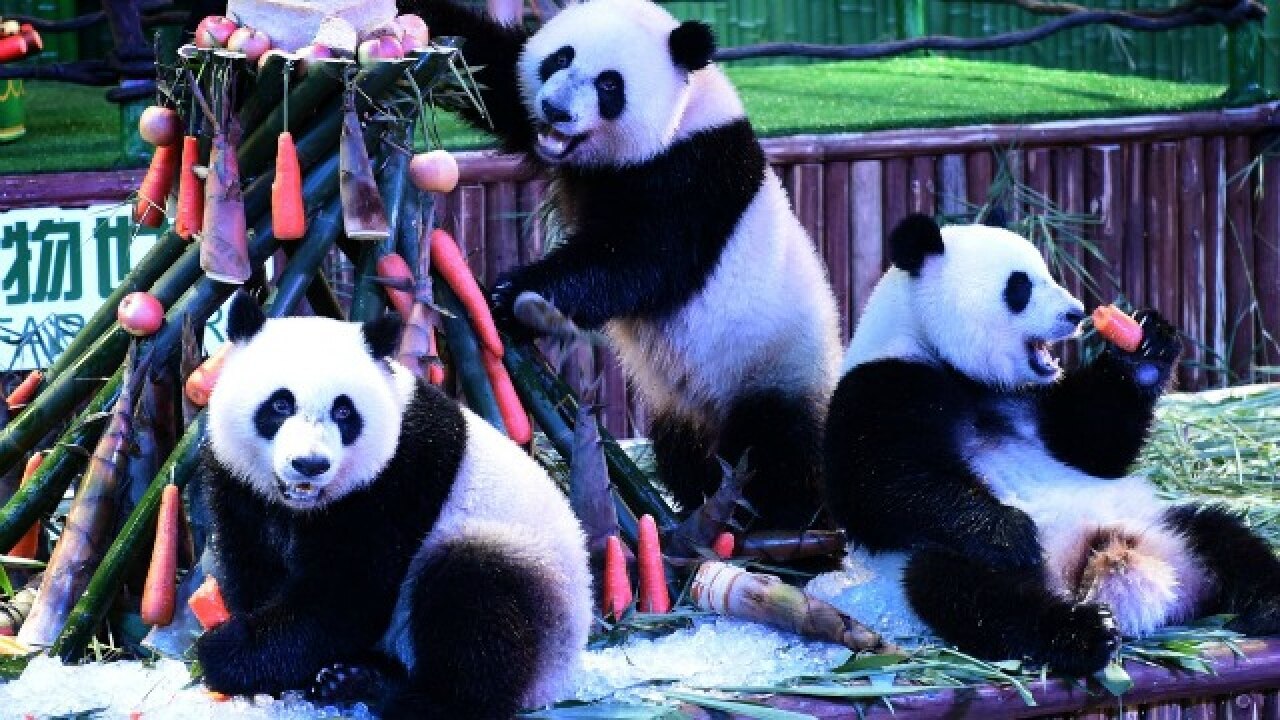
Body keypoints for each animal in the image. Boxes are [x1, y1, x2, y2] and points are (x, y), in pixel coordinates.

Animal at [194, 293, 592, 719]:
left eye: (344, 412)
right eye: (280, 404)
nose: (310, 464)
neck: (302, 506)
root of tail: (555, 681)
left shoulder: (398, 478)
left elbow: (346, 595)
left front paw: (225, 650)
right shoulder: (239, 485)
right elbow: (253, 564)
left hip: (524, 571)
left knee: (475, 604)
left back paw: (400, 694)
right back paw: (351, 679)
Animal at [406, 0, 842, 529]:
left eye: (610, 85)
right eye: (560, 57)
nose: (555, 111)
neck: (688, 110)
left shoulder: (692, 175)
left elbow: (639, 260)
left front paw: (512, 296)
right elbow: (489, 69)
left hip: (773, 365)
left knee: (776, 449)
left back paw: (784, 520)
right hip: (686, 405)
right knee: (683, 449)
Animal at [817, 214, 1280, 676]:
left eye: (1048, 272)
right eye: (1019, 286)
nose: (1076, 313)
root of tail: (1103, 562)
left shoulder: (1033, 400)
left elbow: (1093, 444)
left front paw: (1145, 350)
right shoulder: (884, 386)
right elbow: (881, 486)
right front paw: (1010, 531)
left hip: (1159, 523)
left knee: (1223, 536)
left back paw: (1267, 604)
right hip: (958, 565)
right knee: (968, 591)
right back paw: (1085, 631)